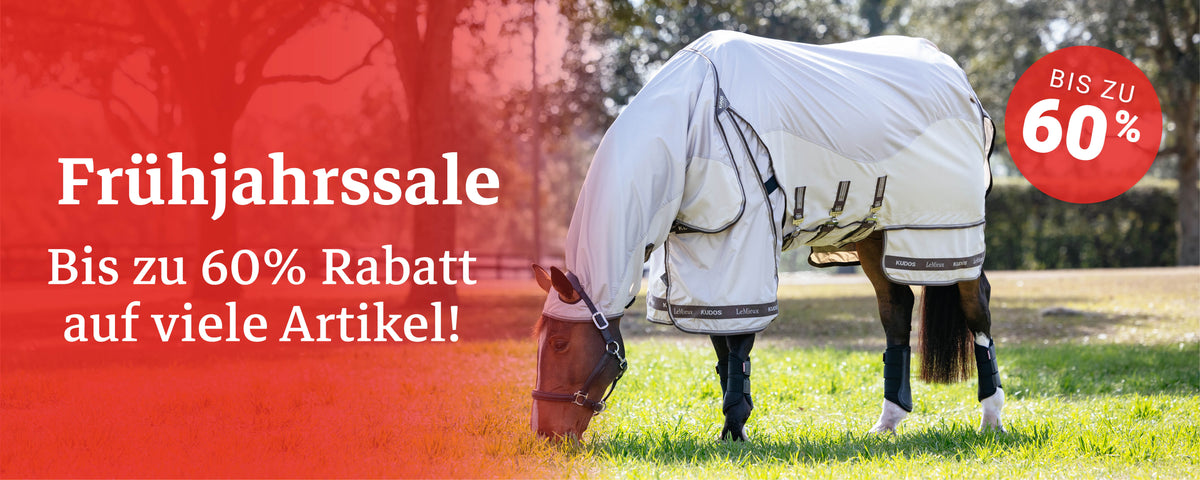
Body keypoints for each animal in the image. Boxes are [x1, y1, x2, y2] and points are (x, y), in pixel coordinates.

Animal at [530, 31, 1005, 441]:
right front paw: (729, 428)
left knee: (975, 307)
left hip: (945, 238)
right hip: (874, 239)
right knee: (896, 311)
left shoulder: (745, 248)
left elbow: (739, 346)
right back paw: (888, 421)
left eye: (559, 343)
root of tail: (962, 83)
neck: (694, 119)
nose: (545, 433)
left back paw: (991, 418)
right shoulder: (705, 260)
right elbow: (722, 350)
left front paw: (736, 429)